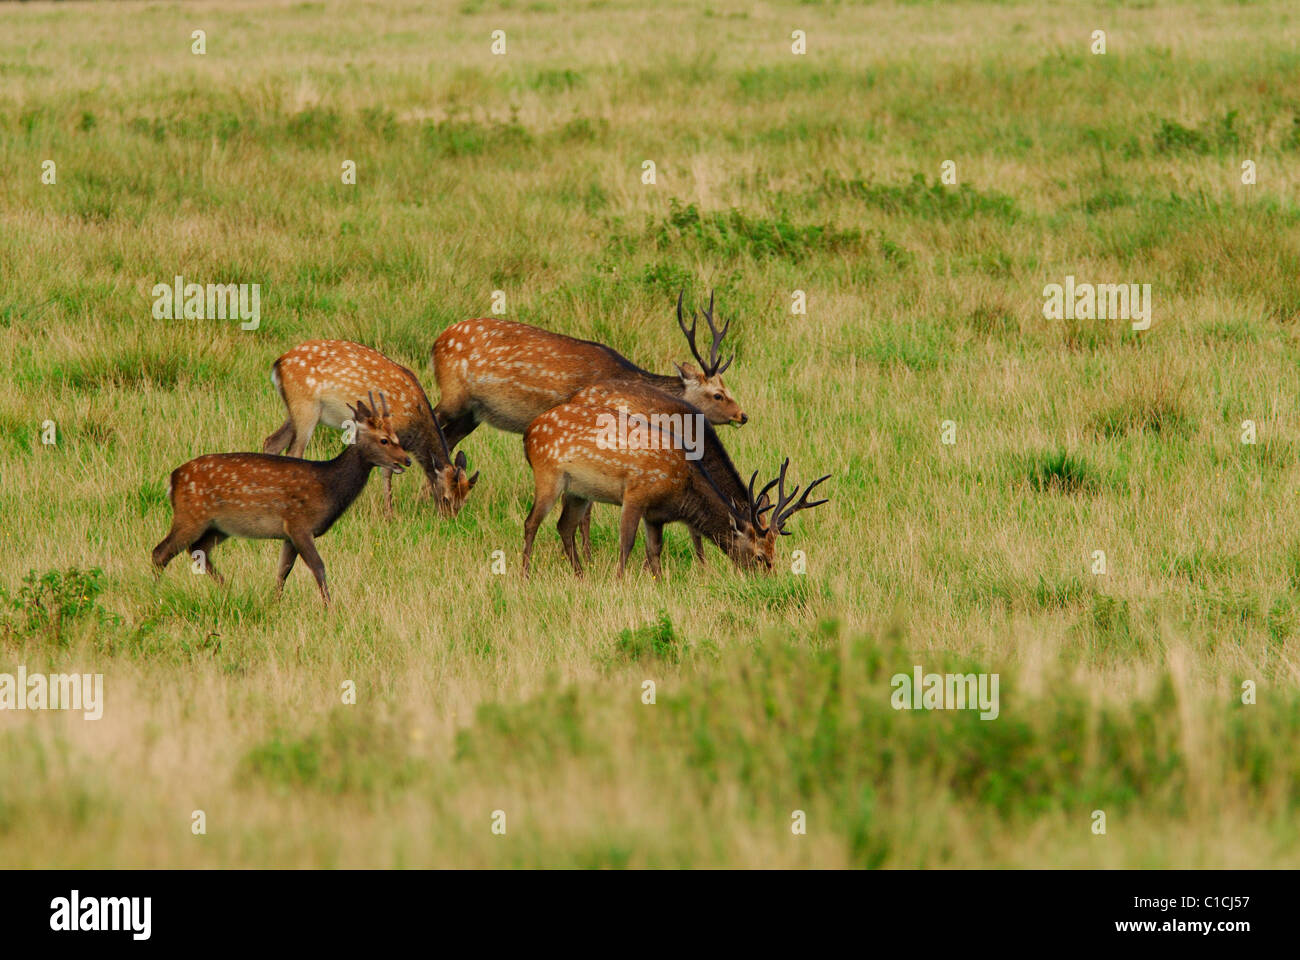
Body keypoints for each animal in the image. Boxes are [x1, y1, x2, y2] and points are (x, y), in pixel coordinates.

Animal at [153, 394, 410, 606]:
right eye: (384, 440)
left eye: (397, 437)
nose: (406, 460)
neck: (329, 488)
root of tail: (173, 479)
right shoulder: (299, 524)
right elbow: (318, 566)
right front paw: (330, 607)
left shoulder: (288, 534)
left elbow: (283, 571)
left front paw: (274, 603)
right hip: (191, 515)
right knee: (160, 552)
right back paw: (157, 593)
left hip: (219, 526)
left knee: (198, 550)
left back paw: (228, 590)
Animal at [262, 339, 477, 518]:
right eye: (446, 498)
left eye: (465, 500)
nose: (448, 520)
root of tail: (278, 364)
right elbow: (387, 472)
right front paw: (389, 515)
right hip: (305, 406)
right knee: (294, 451)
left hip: (297, 411)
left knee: (272, 442)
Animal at [521, 396, 829, 579]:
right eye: (760, 556)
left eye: (775, 554)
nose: (769, 581)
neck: (680, 491)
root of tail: (529, 432)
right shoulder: (636, 494)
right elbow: (627, 543)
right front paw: (619, 581)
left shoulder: (655, 516)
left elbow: (654, 551)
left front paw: (658, 584)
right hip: (548, 474)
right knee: (531, 522)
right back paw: (525, 574)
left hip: (578, 491)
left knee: (564, 525)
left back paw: (580, 575)